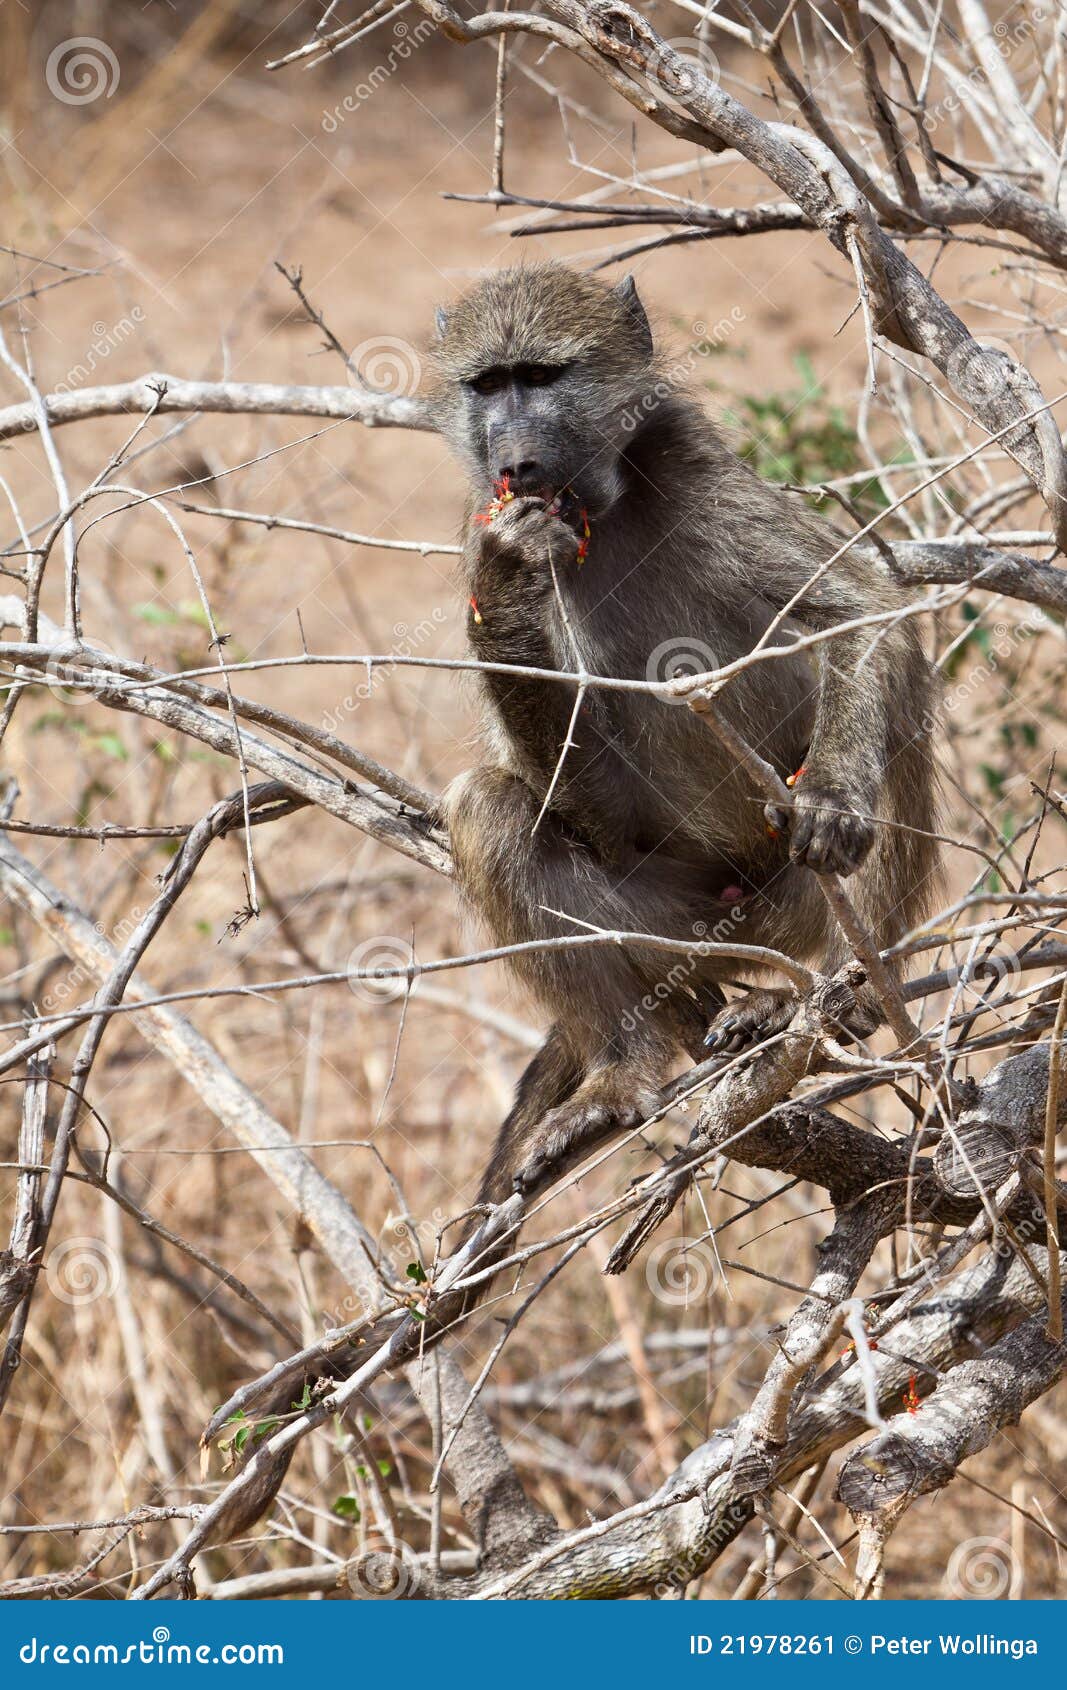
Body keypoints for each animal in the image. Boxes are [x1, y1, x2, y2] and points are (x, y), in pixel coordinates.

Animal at [429, 263, 939, 1213]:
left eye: (542, 377)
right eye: (487, 385)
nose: (514, 461)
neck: (605, 508)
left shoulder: (702, 480)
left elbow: (860, 610)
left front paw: (834, 797)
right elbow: (587, 804)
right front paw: (508, 582)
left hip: (794, 906)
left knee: (886, 715)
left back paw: (823, 998)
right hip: (673, 930)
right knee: (488, 808)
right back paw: (620, 1071)